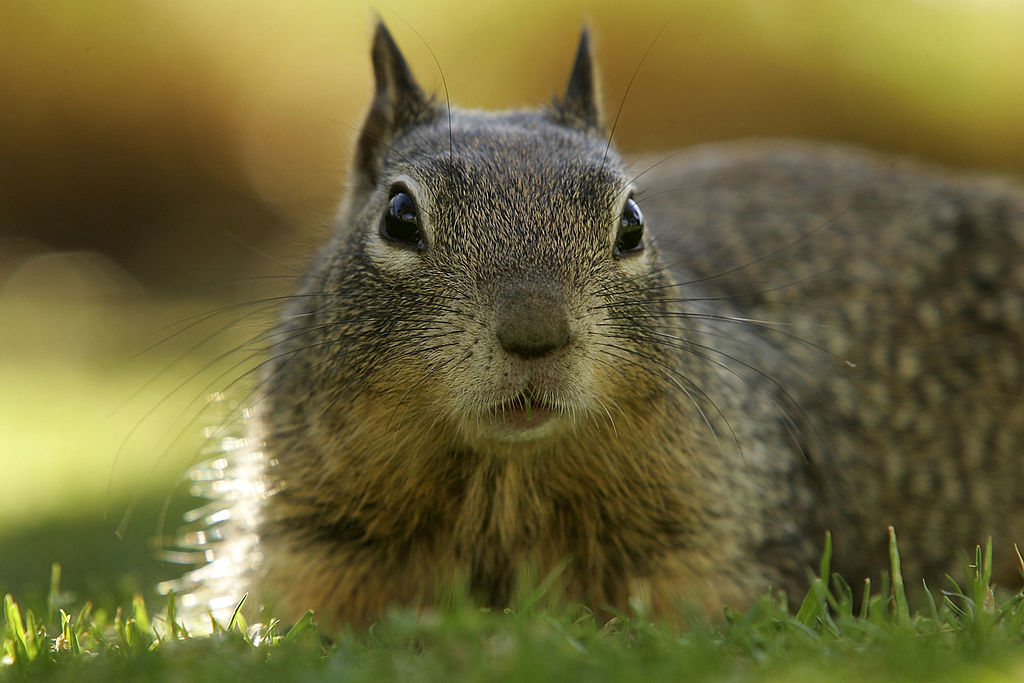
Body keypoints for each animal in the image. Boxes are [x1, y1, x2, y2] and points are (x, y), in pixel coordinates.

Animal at [164, 23, 1024, 629]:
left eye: (633, 222)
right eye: (399, 215)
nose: (535, 333)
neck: (502, 483)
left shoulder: (717, 545)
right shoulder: (301, 545)